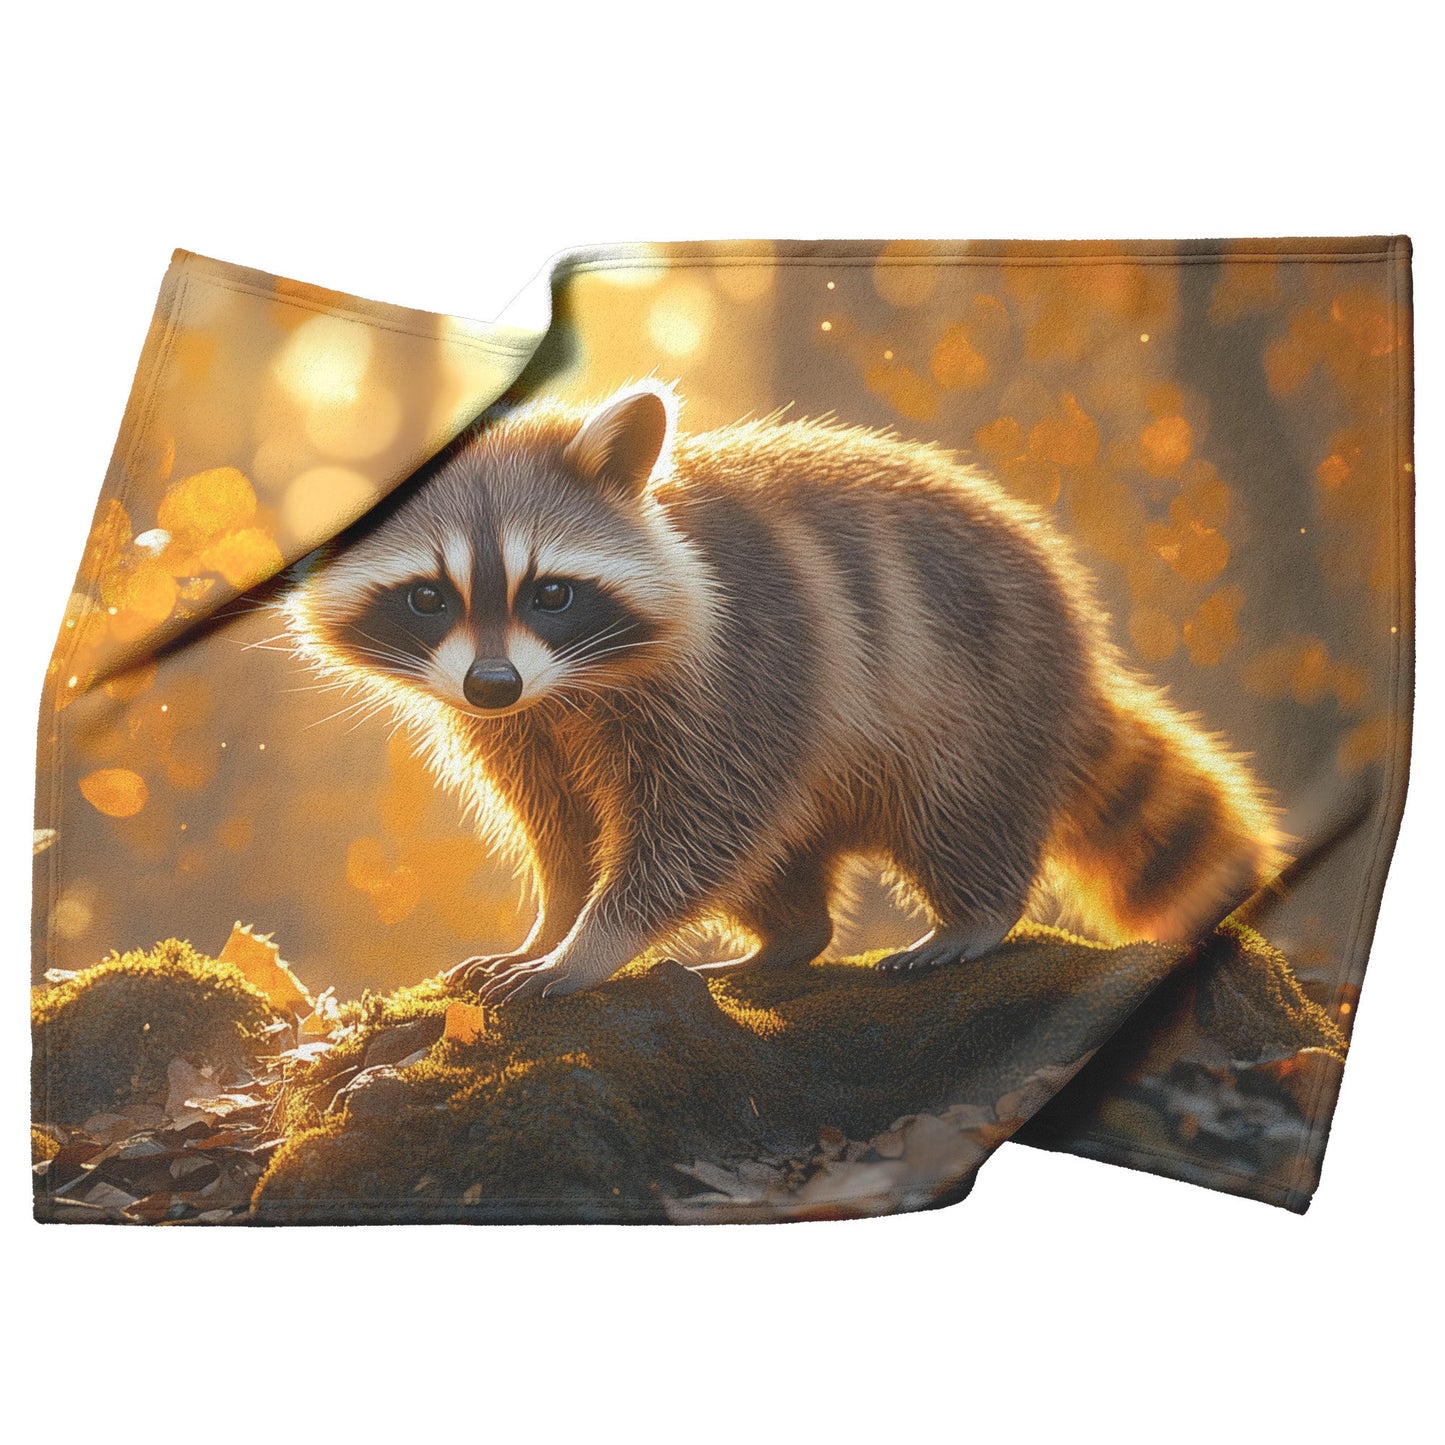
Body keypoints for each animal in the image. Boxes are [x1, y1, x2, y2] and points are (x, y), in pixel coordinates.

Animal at [282, 382, 1284, 1006]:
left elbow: (697, 823)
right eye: (427, 596)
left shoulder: (746, 662)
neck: (570, 687)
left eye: (551, 592)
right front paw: (553, 920)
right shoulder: (521, 727)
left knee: (952, 805)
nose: (493, 682)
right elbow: (559, 826)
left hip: (983, 684)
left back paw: (975, 911)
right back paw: (790, 934)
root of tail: (1083, 648)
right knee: (777, 857)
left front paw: (592, 944)